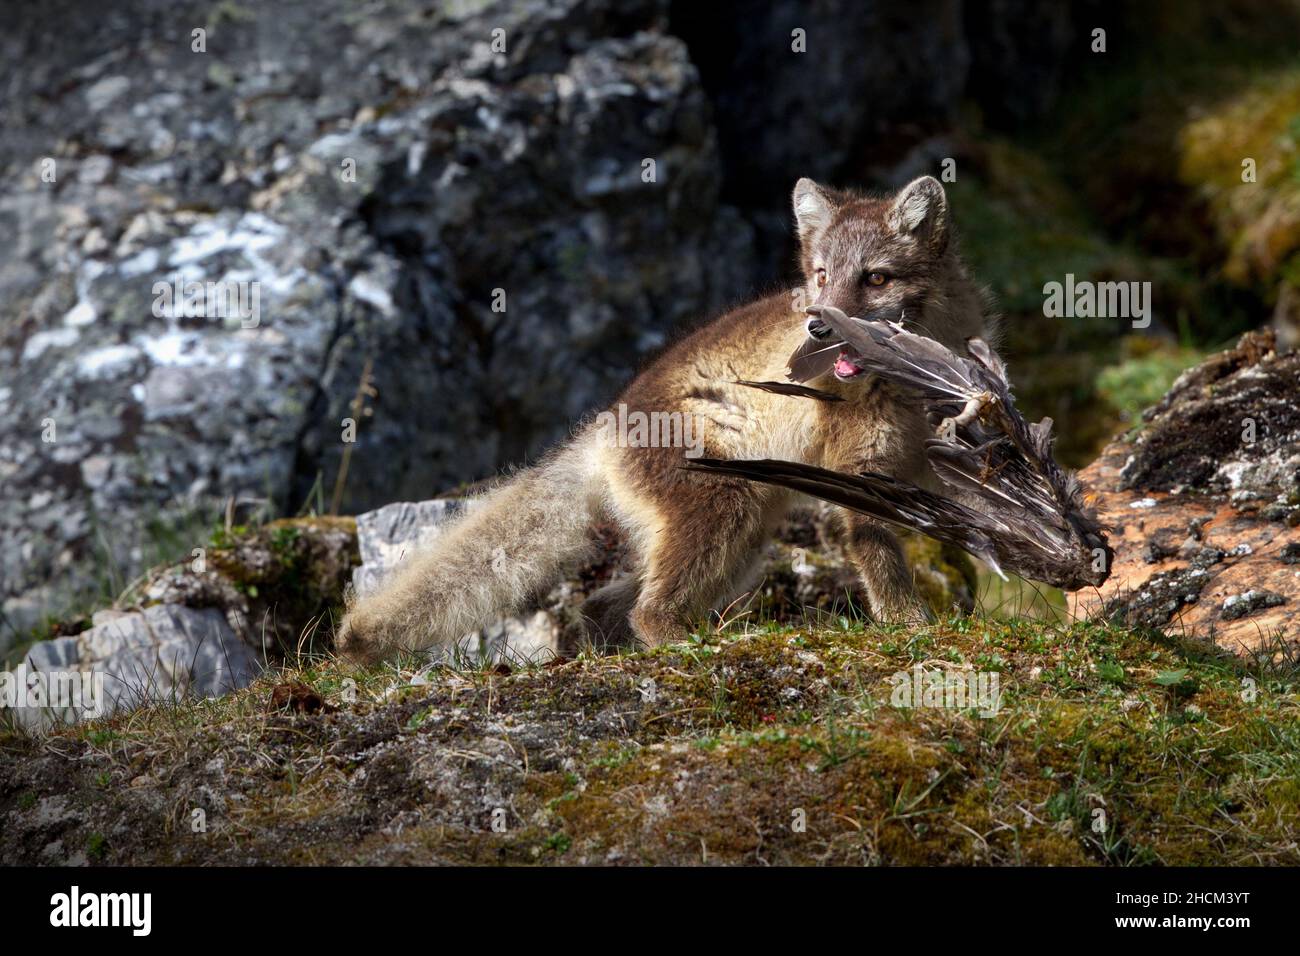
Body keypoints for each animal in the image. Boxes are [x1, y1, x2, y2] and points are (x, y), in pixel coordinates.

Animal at [337, 175, 997, 662]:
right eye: (821, 277)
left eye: (876, 278)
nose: (816, 328)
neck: (910, 382)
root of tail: (603, 425)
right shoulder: (858, 470)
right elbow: (881, 559)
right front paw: (911, 626)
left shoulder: (942, 465)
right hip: (723, 514)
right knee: (645, 611)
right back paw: (692, 648)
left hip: (741, 543)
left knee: (606, 606)